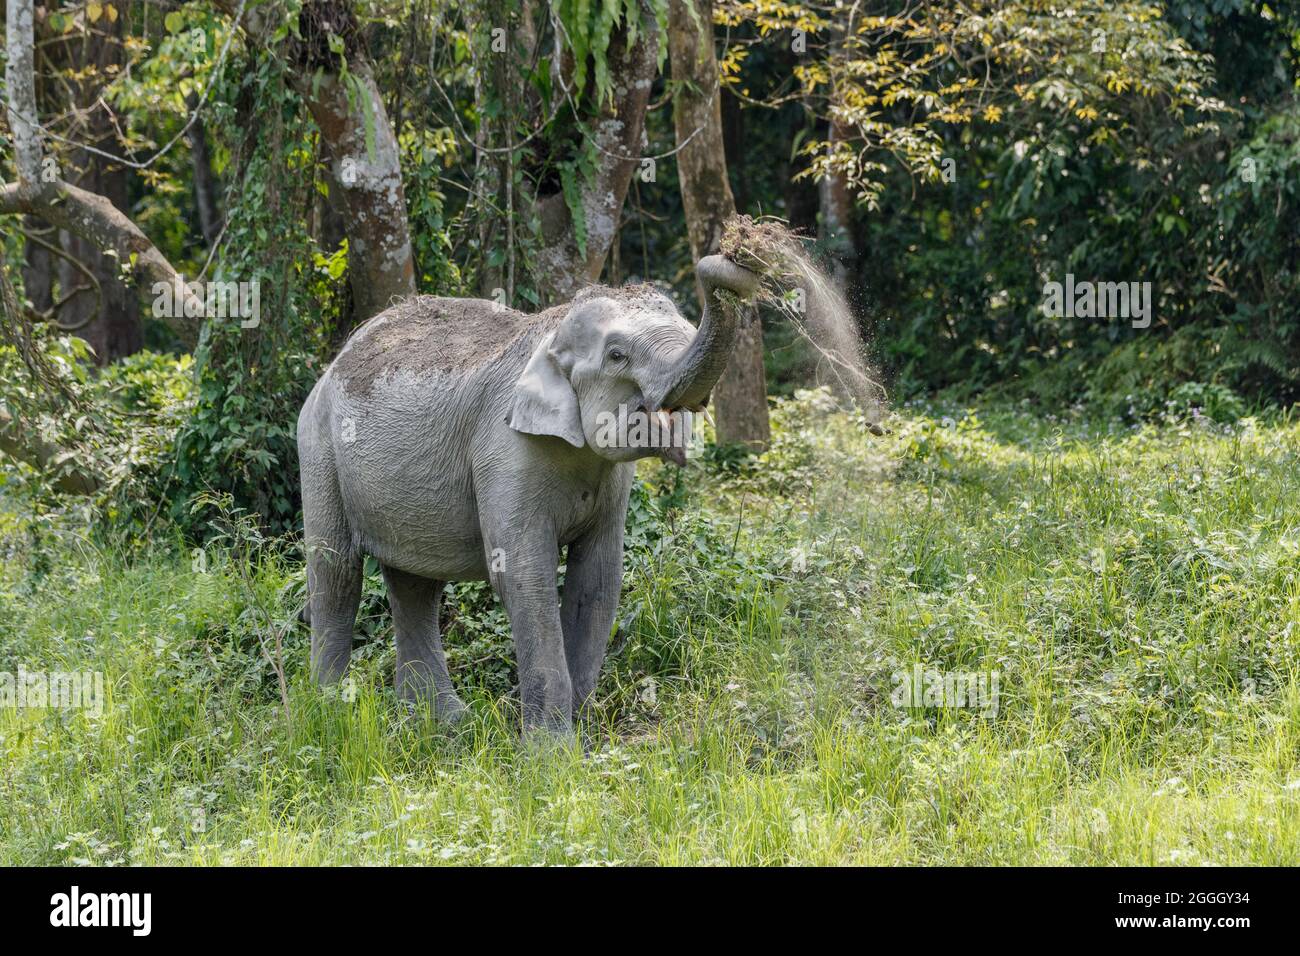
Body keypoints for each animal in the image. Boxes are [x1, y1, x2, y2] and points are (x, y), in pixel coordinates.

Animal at [297, 254, 761, 739]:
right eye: (617, 356)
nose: (729, 260)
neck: (552, 333)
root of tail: (338, 358)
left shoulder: (612, 479)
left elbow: (598, 578)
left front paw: (584, 736)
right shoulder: (504, 451)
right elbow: (523, 574)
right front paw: (553, 750)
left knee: (415, 585)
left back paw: (440, 723)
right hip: (319, 446)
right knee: (337, 572)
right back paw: (330, 713)